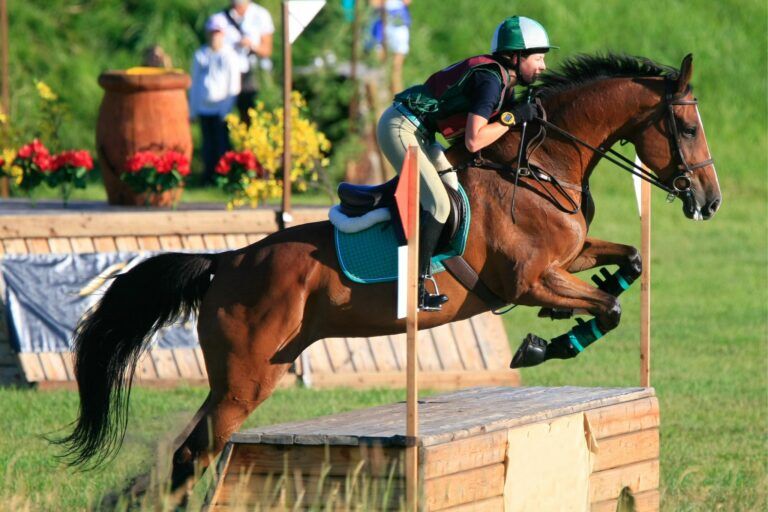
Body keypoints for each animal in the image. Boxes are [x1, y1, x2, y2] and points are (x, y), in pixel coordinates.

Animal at [56, 53, 721, 502]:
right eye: (687, 129)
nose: (710, 201)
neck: (538, 164)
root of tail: (226, 261)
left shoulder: (569, 257)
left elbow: (629, 264)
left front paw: (571, 316)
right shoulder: (529, 279)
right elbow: (606, 308)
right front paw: (543, 344)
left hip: (252, 372)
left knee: (189, 452)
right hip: (245, 379)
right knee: (195, 451)